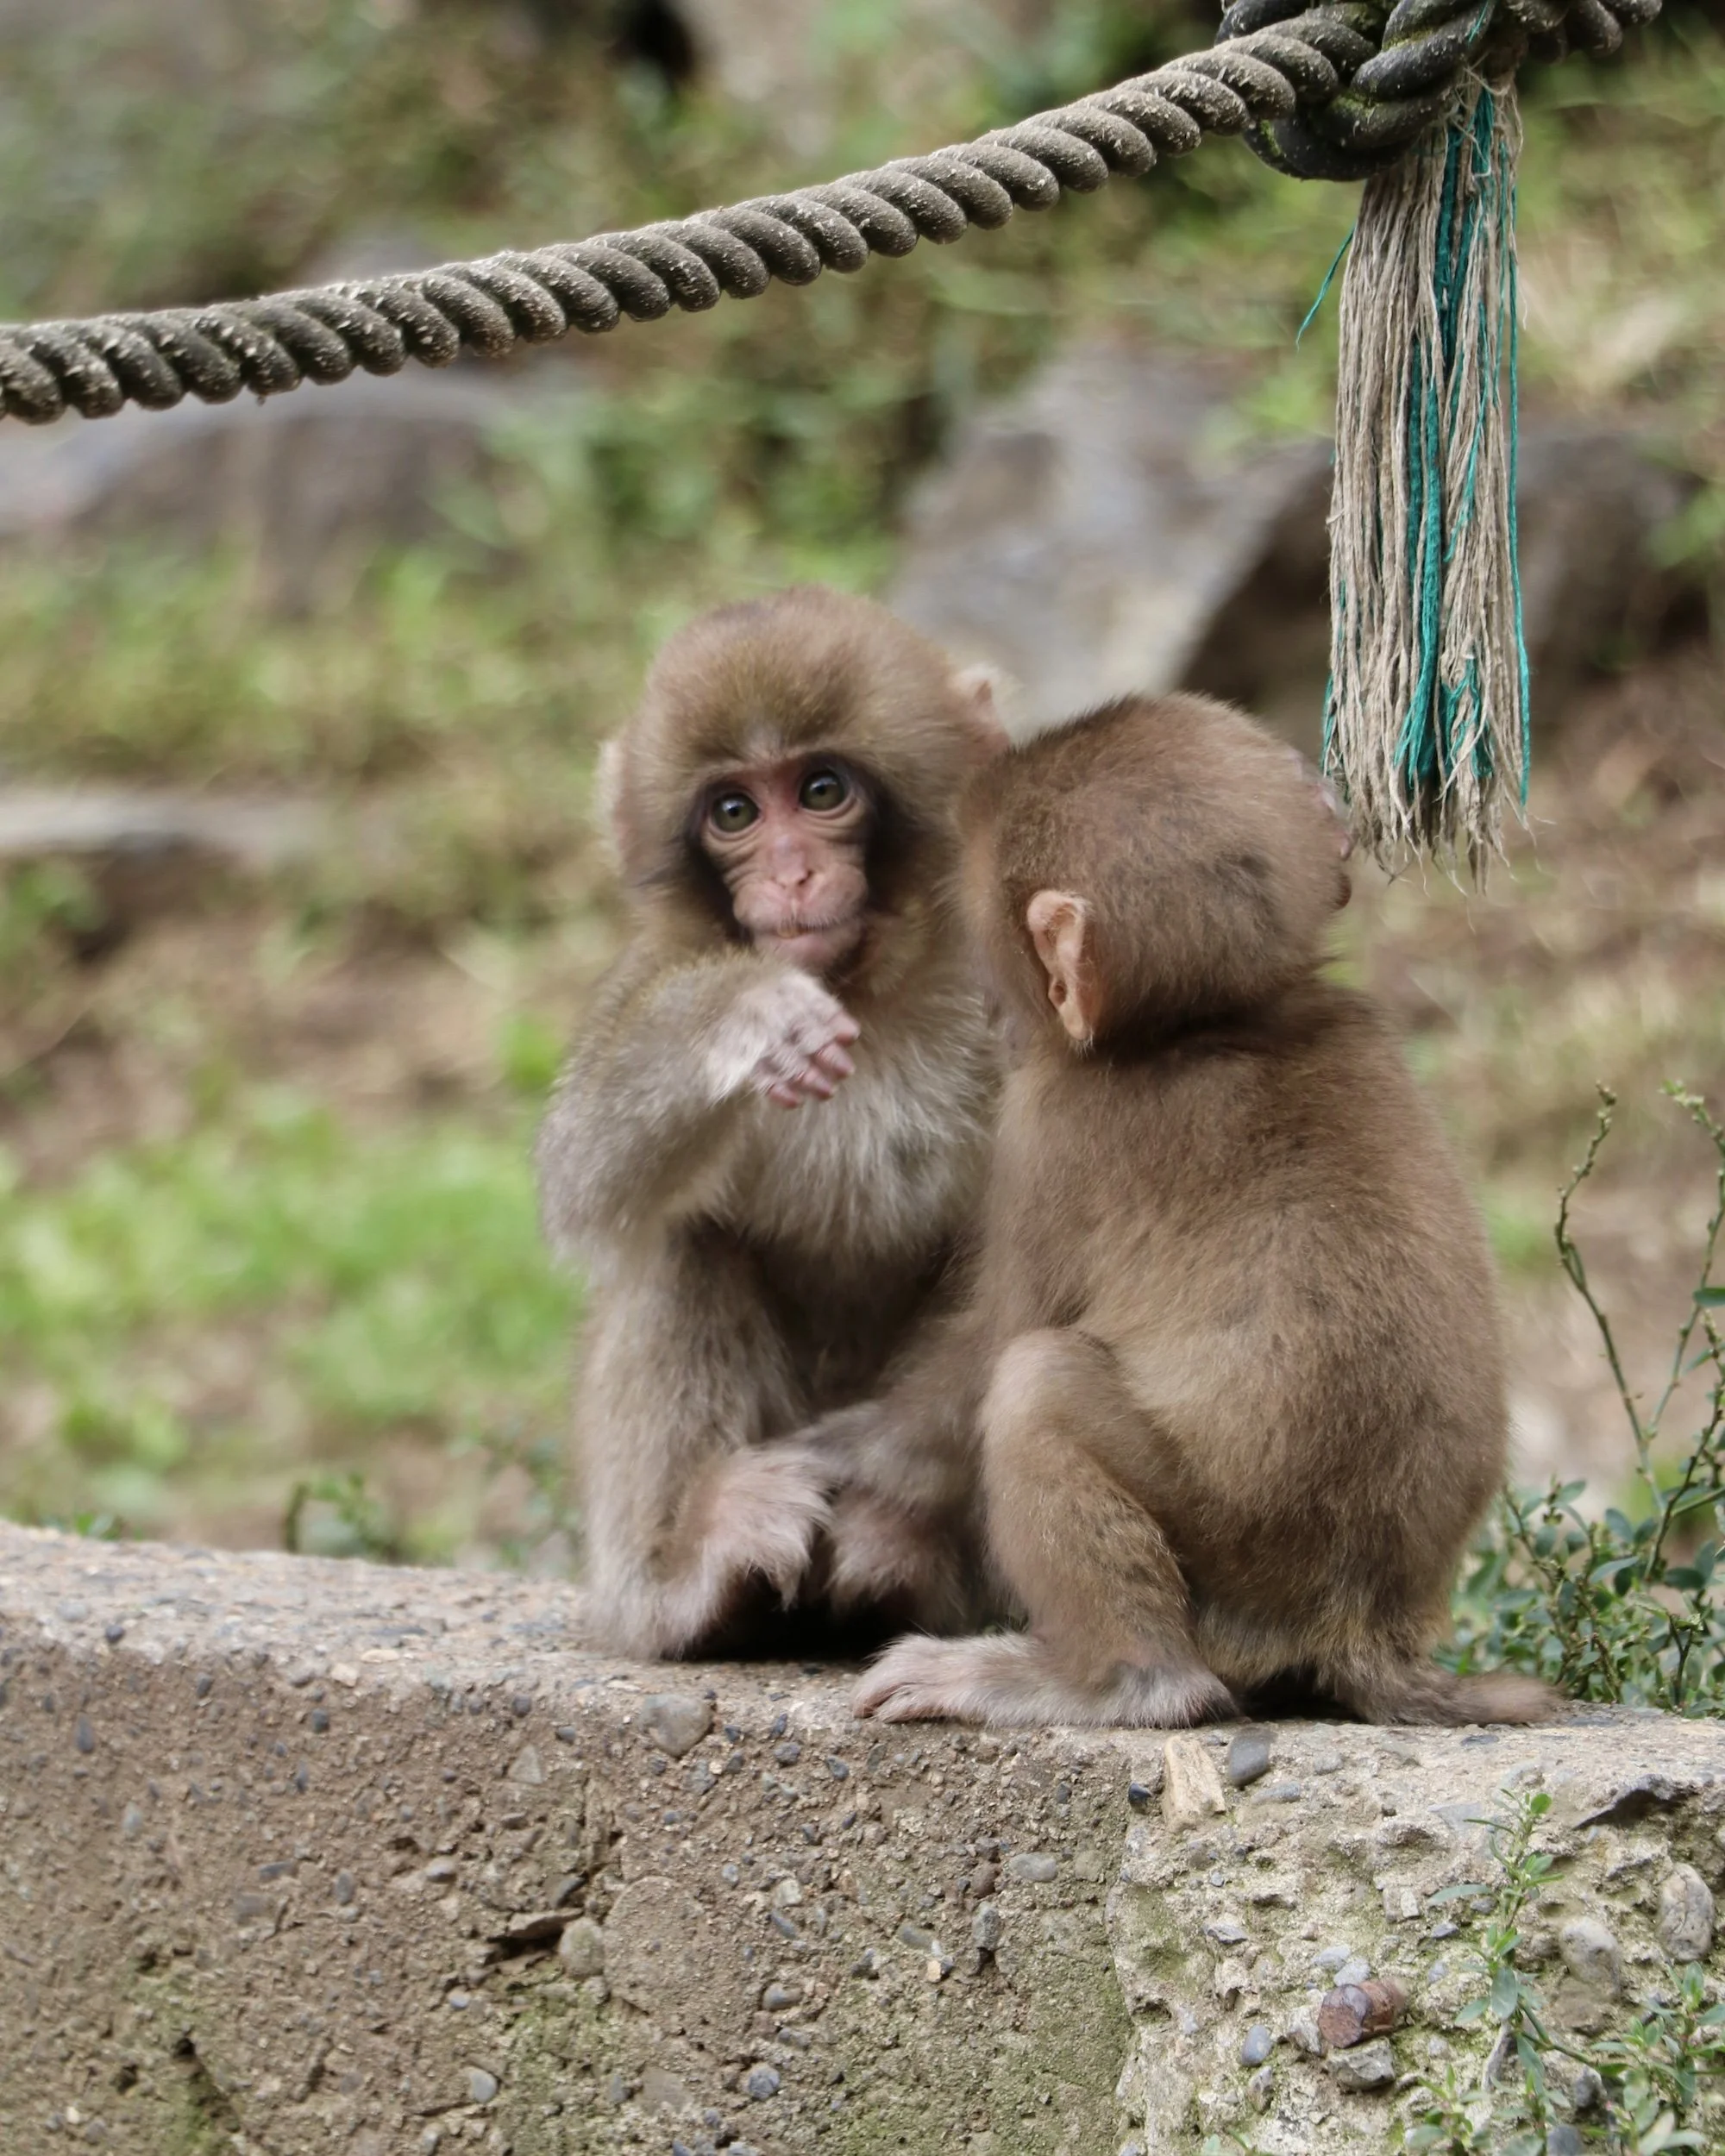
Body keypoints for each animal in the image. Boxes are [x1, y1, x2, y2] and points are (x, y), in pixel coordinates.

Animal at [535, 586, 1005, 1659]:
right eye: (734, 812)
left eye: (821, 790)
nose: (789, 875)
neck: (863, 987)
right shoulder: (657, 969)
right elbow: (581, 1175)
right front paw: (745, 1016)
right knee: (680, 1236)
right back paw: (692, 1574)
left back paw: (903, 1556)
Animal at [843, 689, 1557, 1728]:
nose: (995, 1016)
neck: (1213, 1025)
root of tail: (1361, 1622)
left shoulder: (1049, 1132)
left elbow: (995, 1342)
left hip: (1232, 1556)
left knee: (1036, 1387)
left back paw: (1120, 1680)